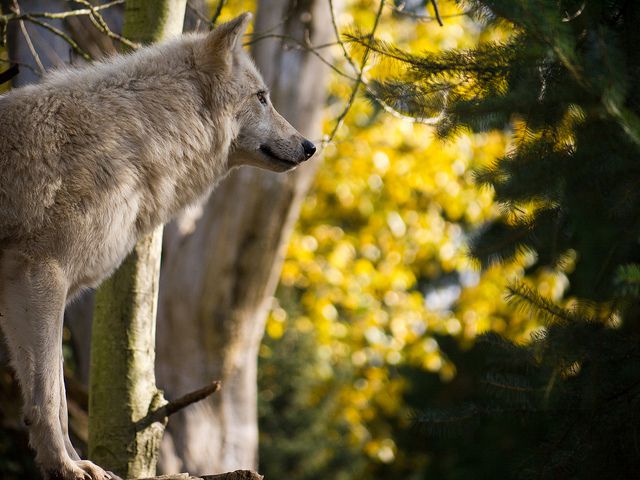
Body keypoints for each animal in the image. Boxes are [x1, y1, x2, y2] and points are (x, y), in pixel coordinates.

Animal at [0, 12, 315, 480]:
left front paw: (78, 463)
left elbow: (55, 394)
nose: (311, 146)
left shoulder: (30, 290)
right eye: (262, 97)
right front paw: (67, 467)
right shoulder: (40, 277)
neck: (136, 140)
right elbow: (50, 397)